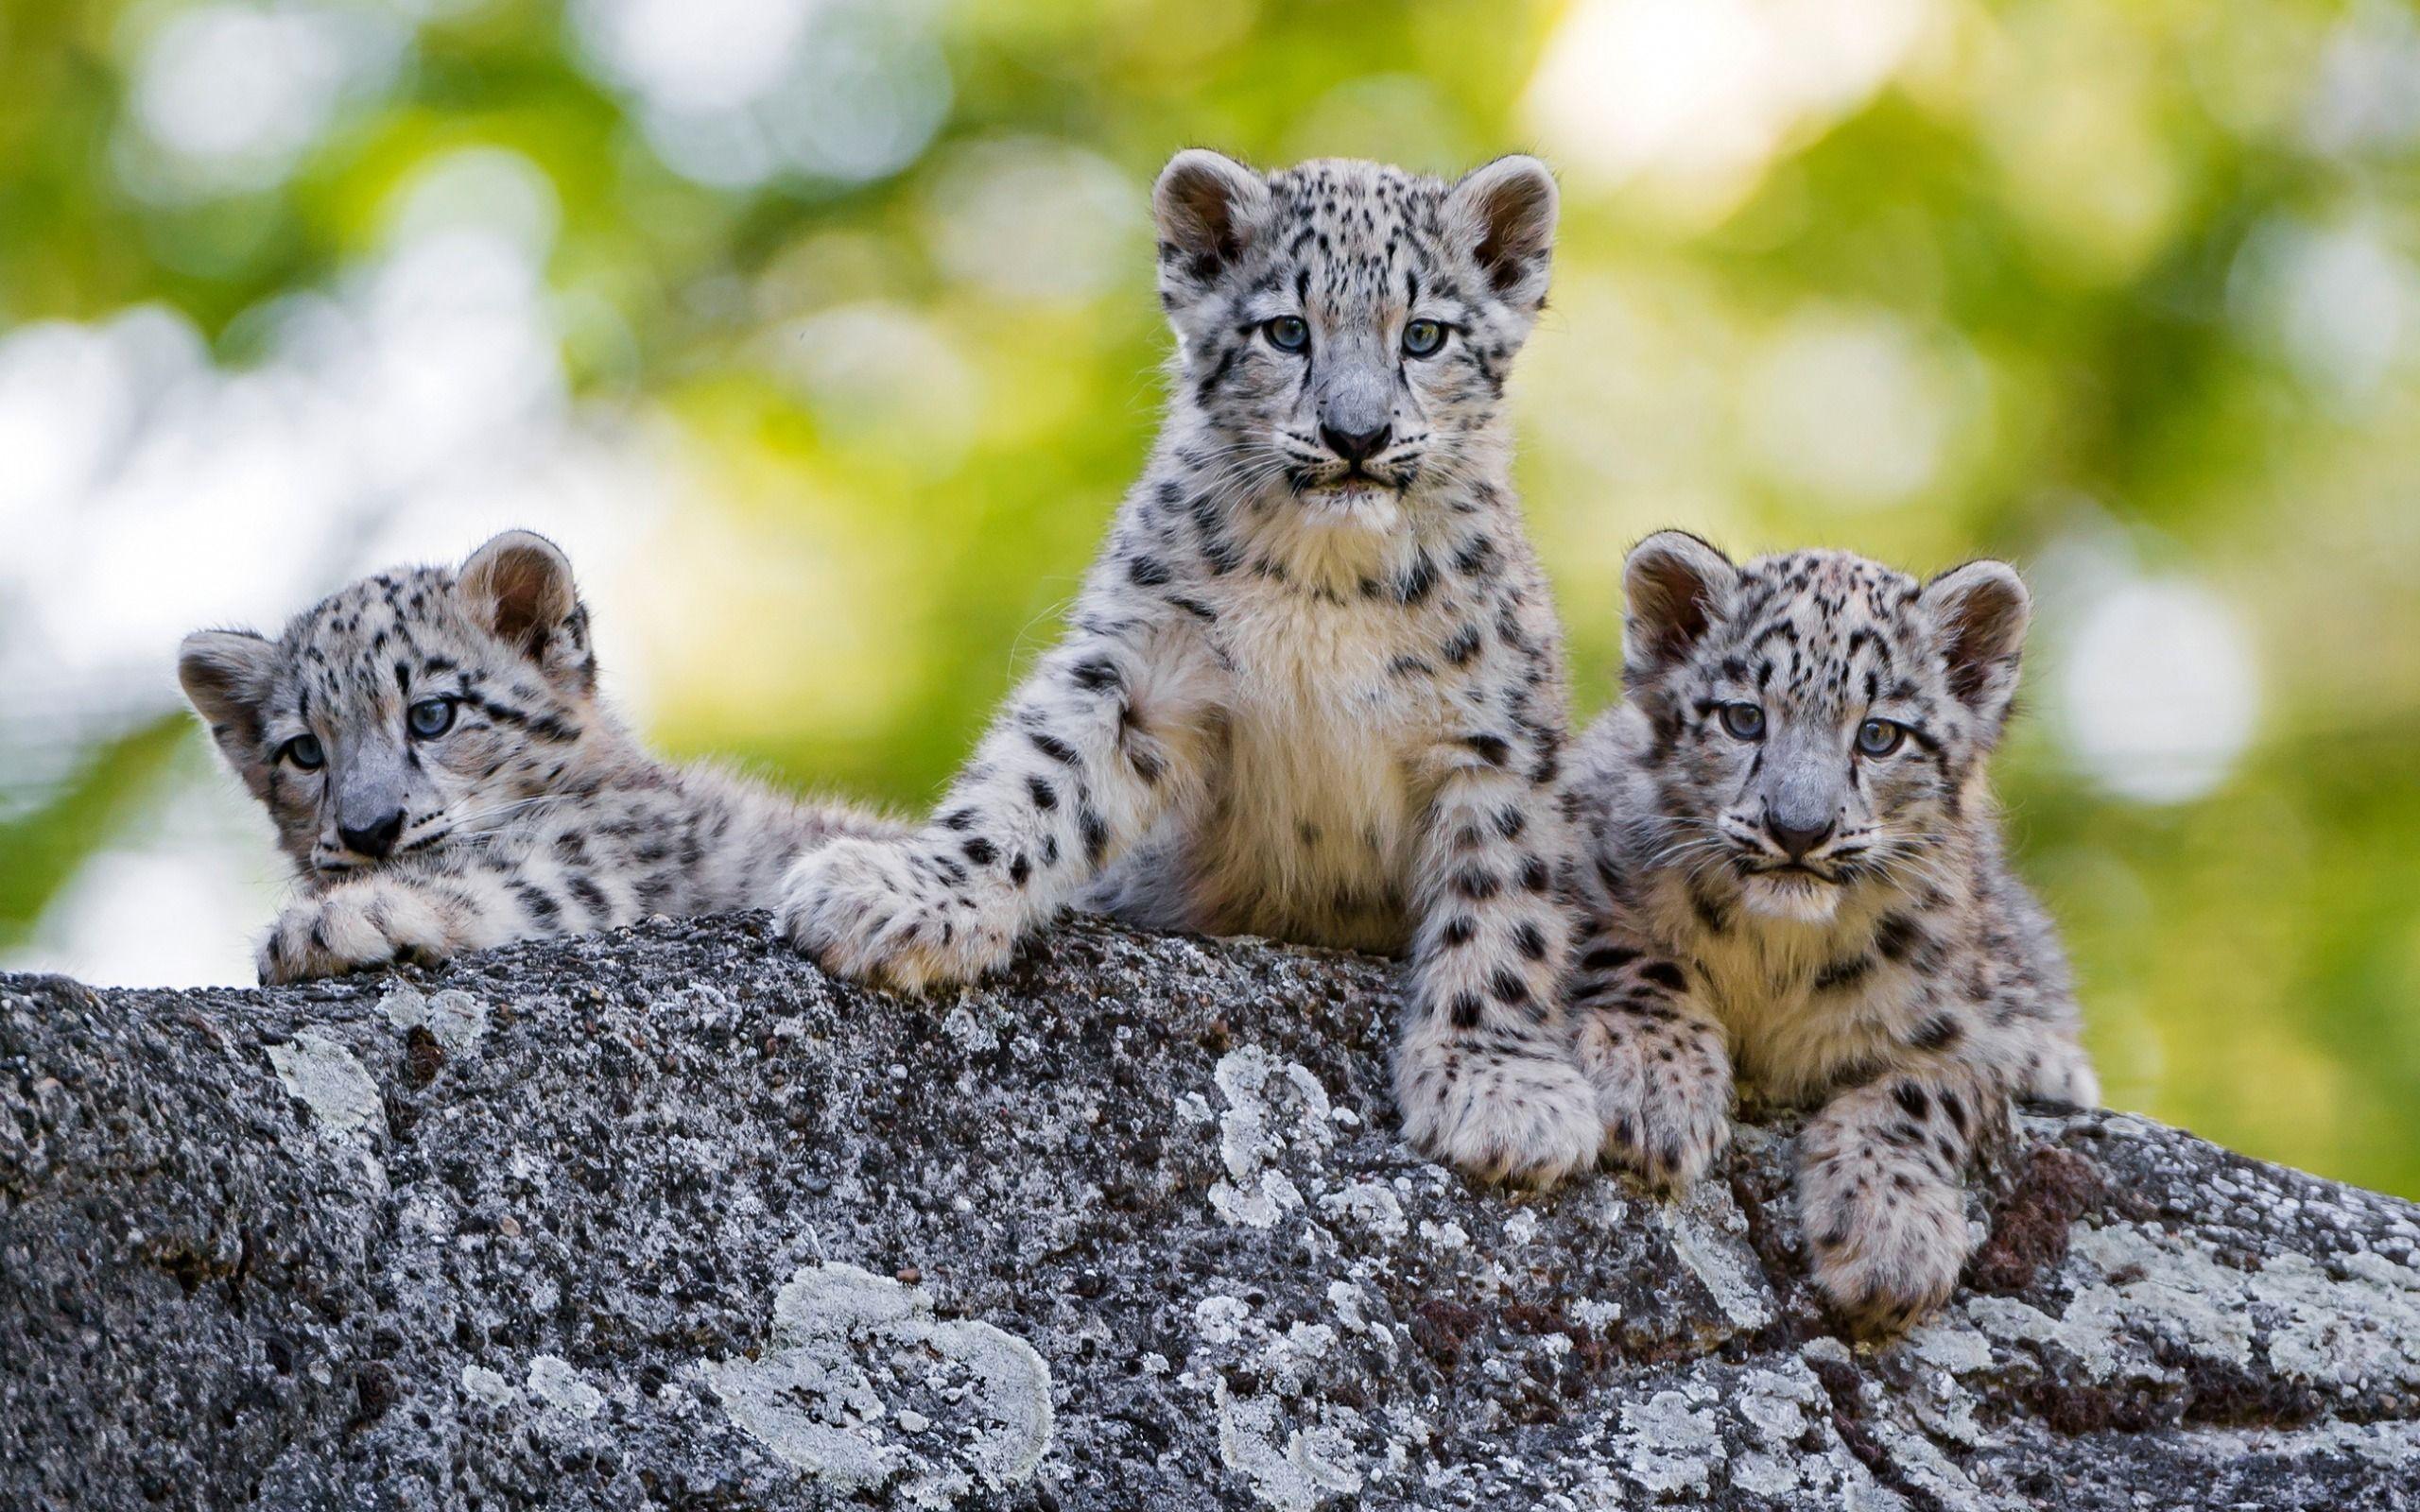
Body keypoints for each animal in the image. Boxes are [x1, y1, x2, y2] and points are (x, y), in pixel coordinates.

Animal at [178, 529, 898, 984]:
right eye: (304, 751)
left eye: (432, 714)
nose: (369, 830)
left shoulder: (609, 862)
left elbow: (517, 882)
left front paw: (328, 924)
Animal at [778, 150, 1603, 1186]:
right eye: (1286, 329)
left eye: (1424, 335)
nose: (1357, 436)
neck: (1329, 582)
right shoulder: (1138, 664)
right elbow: (1033, 780)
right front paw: (904, 894)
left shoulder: (1493, 734)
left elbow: (1501, 901)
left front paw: (1500, 1091)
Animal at [1565, 530, 2099, 1333]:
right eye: (1743, 719)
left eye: (1879, 735)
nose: (1798, 828)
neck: (1778, 956)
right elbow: (1632, 950)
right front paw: (1655, 1087)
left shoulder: (1985, 1022)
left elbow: (1927, 1088)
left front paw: (1892, 1238)